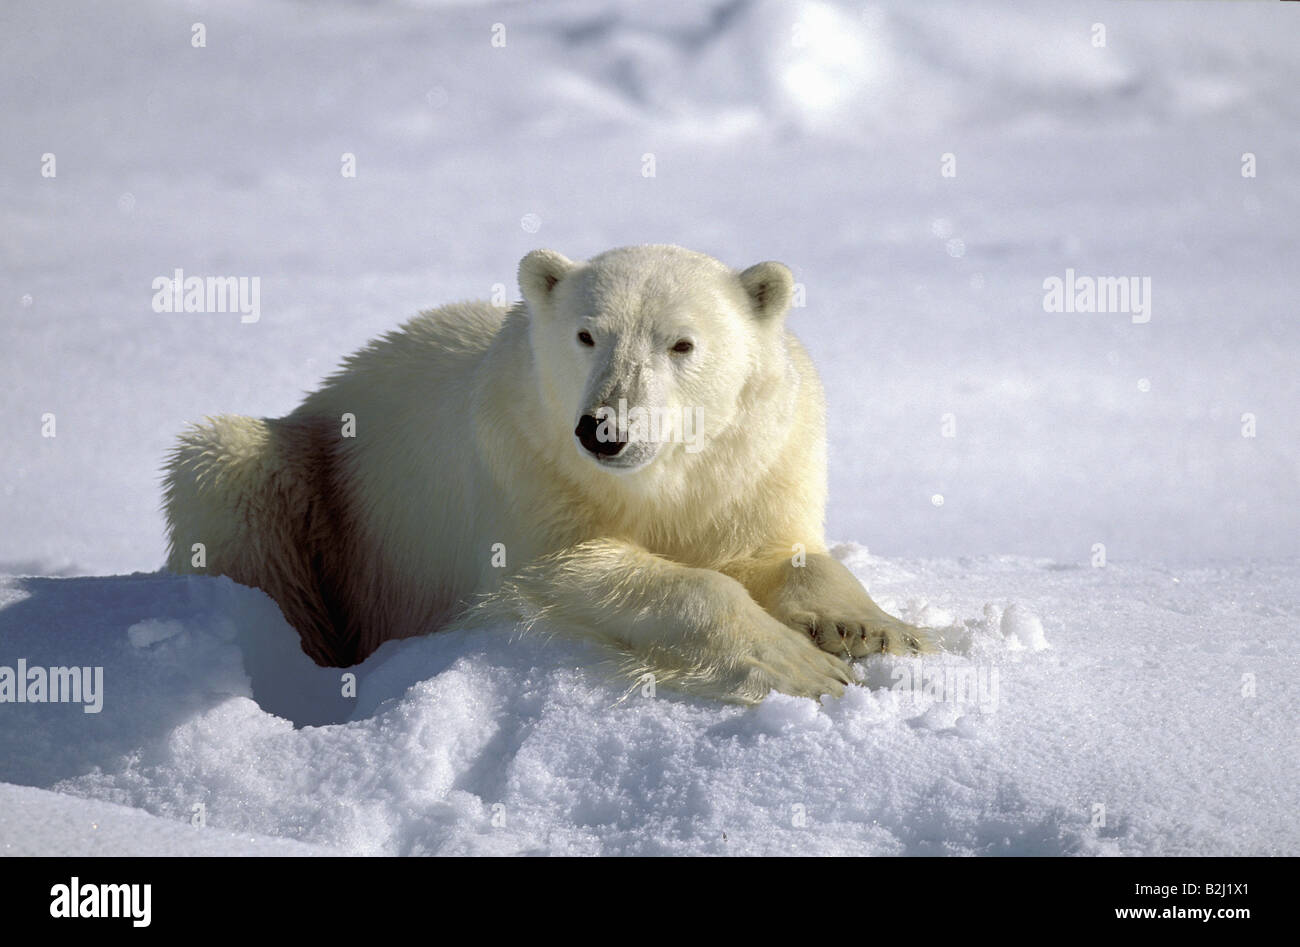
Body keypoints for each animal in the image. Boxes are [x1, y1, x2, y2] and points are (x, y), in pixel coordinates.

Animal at [163, 244, 928, 703]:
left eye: (681, 344)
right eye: (587, 333)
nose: (605, 430)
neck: (659, 480)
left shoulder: (759, 462)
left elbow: (781, 551)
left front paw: (874, 630)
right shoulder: (525, 461)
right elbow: (571, 567)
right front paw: (800, 664)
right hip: (310, 475)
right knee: (226, 470)